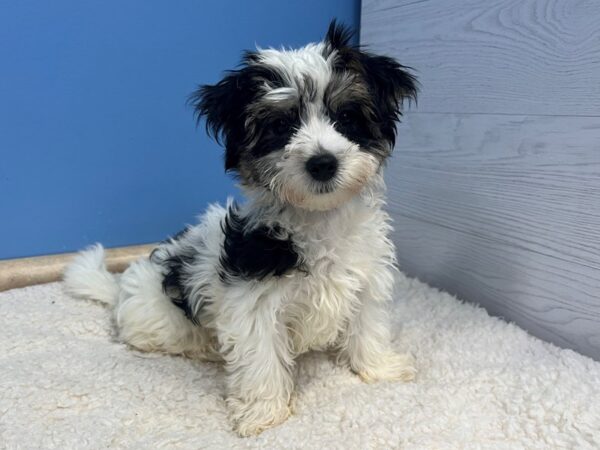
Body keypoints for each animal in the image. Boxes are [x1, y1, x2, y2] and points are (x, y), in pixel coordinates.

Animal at [62, 21, 418, 436]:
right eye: (280, 126)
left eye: (346, 117)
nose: (322, 163)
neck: (316, 219)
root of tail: (120, 289)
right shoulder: (254, 301)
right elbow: (261, 357)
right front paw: (263, 412)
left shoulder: (367, 278)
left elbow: (367, 326)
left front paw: (380, 369)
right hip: (159, 321)